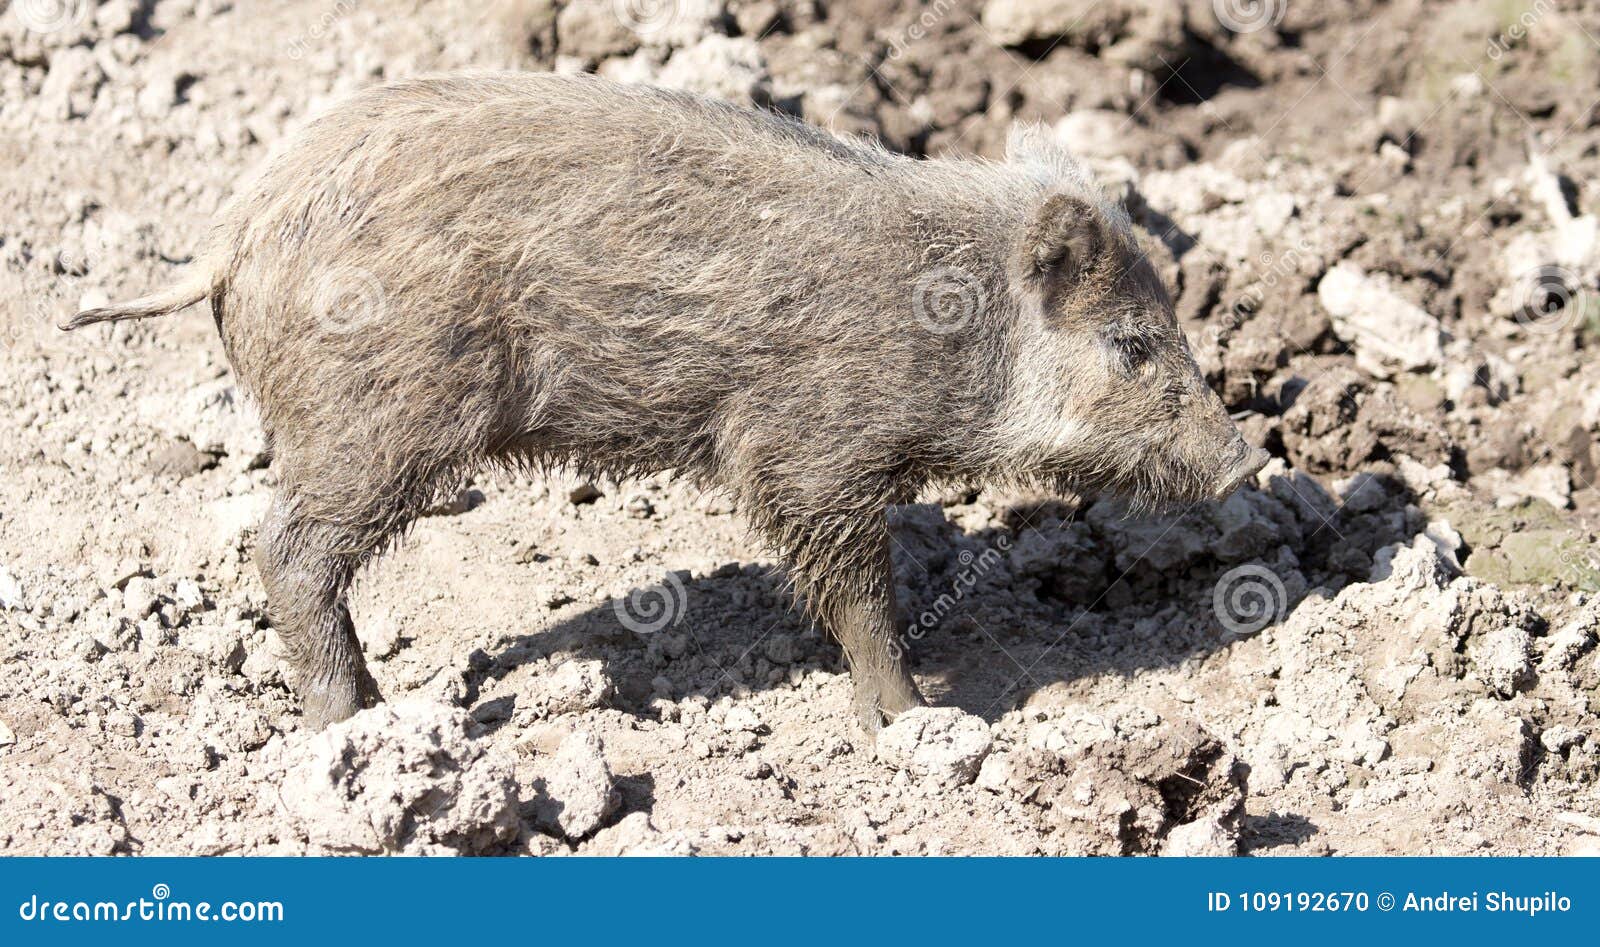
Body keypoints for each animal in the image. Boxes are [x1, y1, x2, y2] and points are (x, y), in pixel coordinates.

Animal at [64, 73, 1268, 736]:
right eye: (1130, 344)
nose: (1248, 459)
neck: (953, 322)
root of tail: (234, 228)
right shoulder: (806, 446)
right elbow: (855, 587)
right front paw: (921, 717)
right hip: (380, 419)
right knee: (286, 546)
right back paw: (358, 720)